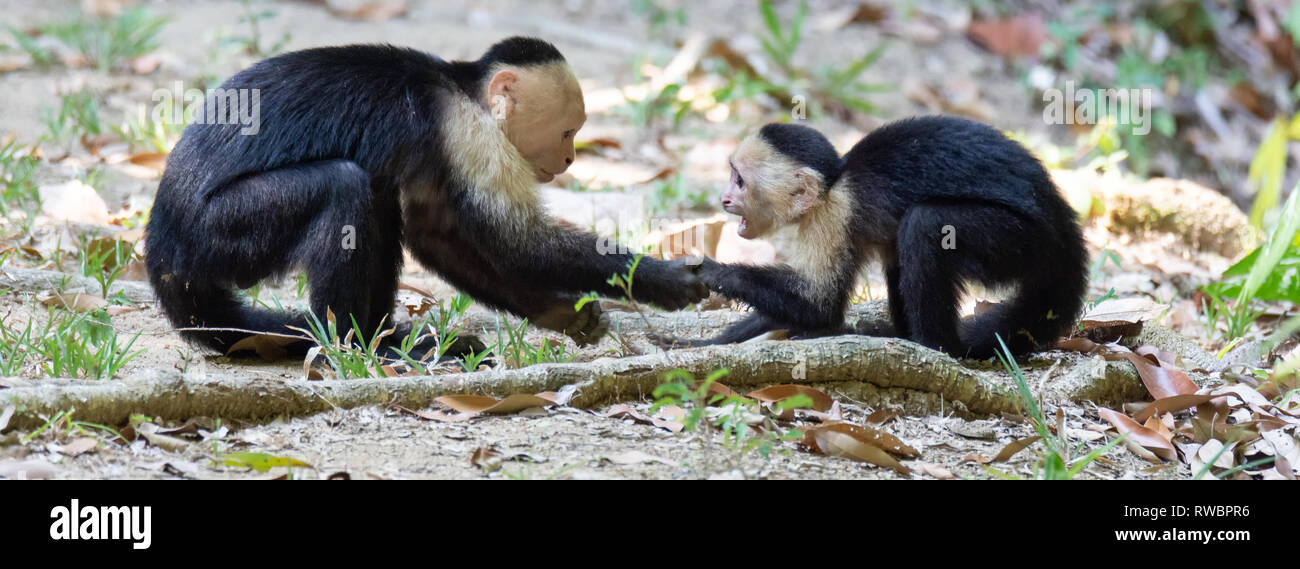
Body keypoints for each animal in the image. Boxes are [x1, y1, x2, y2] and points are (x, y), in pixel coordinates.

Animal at [146, 37, 709, 359]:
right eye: (569, 130)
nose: (570, 159)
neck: (463, 88)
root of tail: (161, 248)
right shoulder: (468, 132)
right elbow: (517, 245)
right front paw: (666, 279)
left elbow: (440, 238)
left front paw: (562, 315)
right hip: (218, 233)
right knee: (344, 185)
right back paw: (351, 349)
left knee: (377, 200)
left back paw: (386, 338)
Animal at [657, 116, 1087, 358]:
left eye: (741, 181)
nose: (724, 199)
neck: (834, 184)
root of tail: (1060, 215)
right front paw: (703, 345)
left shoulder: (833, 215)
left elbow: (820, 305)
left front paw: (712, 272)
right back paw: (900, 334)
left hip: (1021, 240)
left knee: (925, 224)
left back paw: (933, 346)